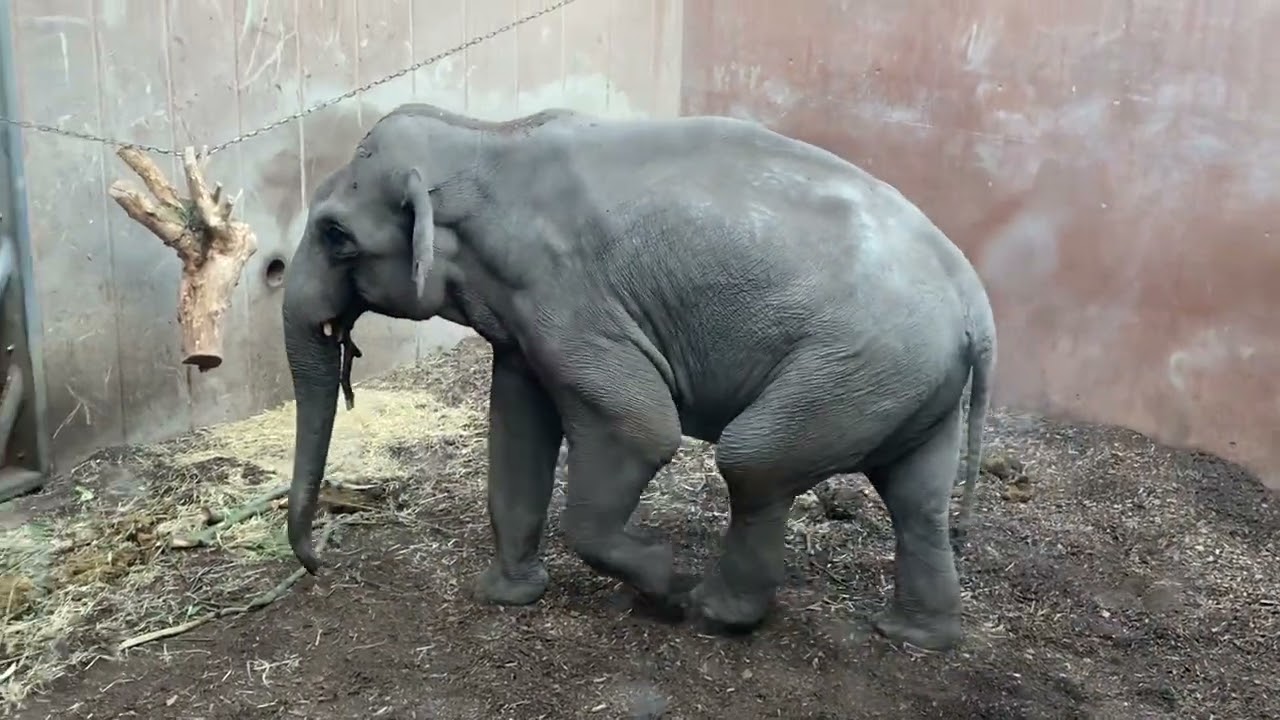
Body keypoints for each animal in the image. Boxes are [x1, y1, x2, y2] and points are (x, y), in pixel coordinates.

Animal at [281, 102, 997, 652]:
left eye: (336, 235)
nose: (320, 563)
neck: (486, 137)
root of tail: (975, 303)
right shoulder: (526, 320)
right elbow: (517, 427)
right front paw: (505, 596)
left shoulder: (569, 298)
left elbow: (639, 429)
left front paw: (662, 583)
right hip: (910, 384)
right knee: (916, 498)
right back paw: (910, 636)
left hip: (855, 366)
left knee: (754, 463)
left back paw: (712, 612)